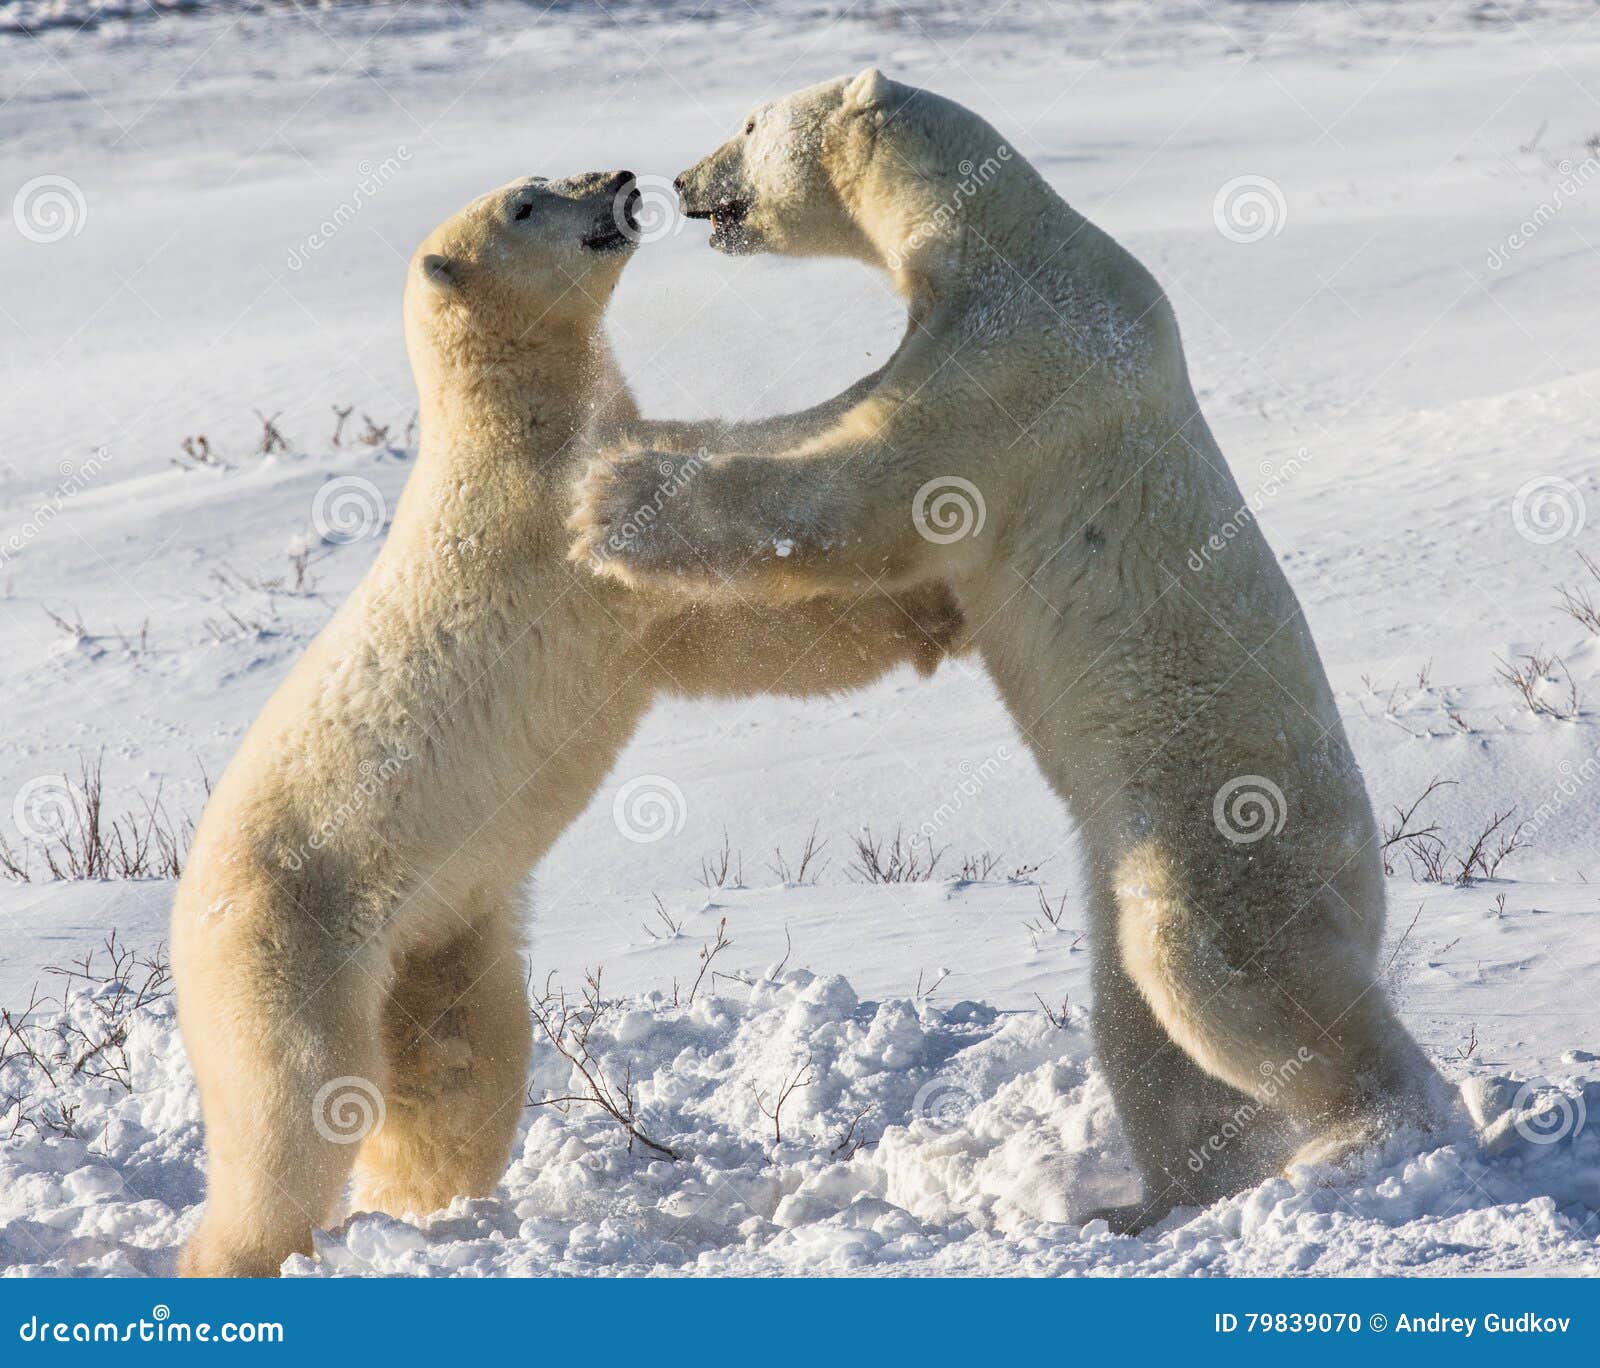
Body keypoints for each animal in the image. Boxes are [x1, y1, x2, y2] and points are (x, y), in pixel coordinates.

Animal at [171, 169, 962, 1277]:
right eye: (525, 203)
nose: (621, 181)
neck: (513, 432)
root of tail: (183, 907)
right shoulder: (560, 528)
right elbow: (721, 576)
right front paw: (930, 594)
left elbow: (725, 637)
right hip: (293, 935)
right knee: (295, 1103)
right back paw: (248, 1254)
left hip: (442, 928)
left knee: (461, 1073)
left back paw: (427, 1208)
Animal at [568, 72, 1452, 1230]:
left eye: (753, 124)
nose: (681, 180)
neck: (1006, 236)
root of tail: (1367, 874)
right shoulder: (934, 335)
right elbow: (822, 429)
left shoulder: (1012, 361)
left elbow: (866, 492)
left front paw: (614, 500)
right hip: (1128, 862)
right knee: (1147, 1034)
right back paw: (1146, 1204)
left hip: (1225, 840)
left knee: (1225, 981)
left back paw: (1367, 1133)